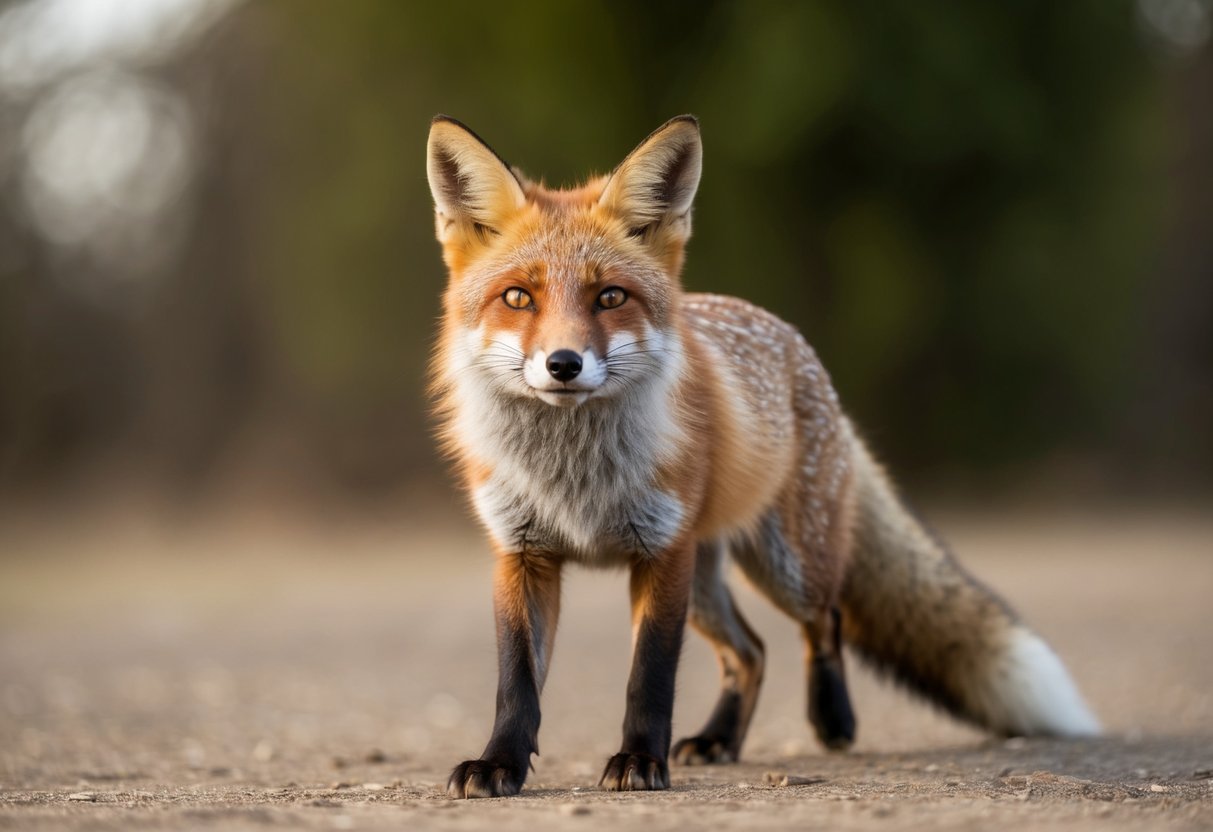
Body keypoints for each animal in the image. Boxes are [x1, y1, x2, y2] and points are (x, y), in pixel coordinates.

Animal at [425, 114, 1100, 799]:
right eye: (517, 298)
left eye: (611, 298)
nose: (563, 364)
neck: (573, 477)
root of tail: (799, 346)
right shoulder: (522, 554)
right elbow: (517, 683)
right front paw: (499, 763)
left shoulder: (661, 554)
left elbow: (650, 677)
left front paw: (640, 759)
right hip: (706, 582)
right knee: (750, 652)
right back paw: (719, 739)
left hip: (783, 566)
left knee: (823, 622)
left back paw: (832, 720)